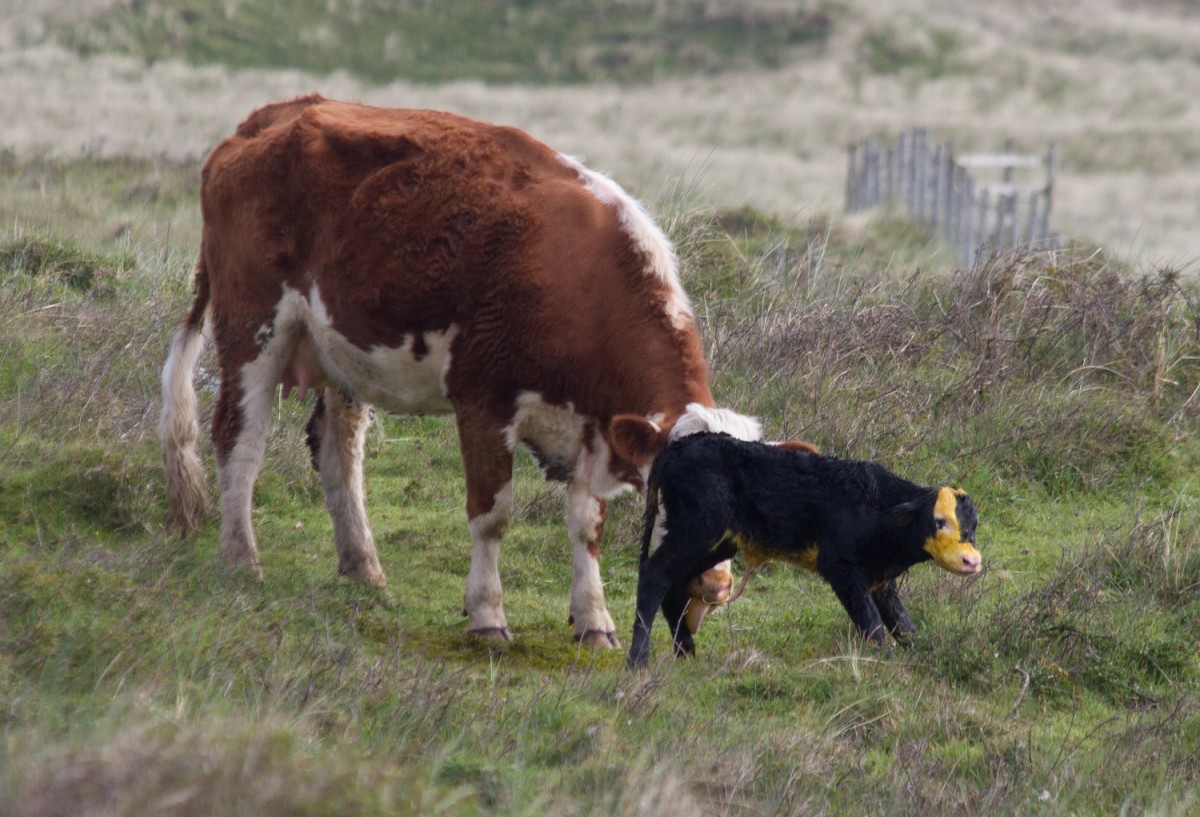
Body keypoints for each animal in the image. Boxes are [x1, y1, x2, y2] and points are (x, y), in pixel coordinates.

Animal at [159, 94, 762, 648]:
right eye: (681, 499)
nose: (716, 586)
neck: (579, 278)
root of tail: (273, 115)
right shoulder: (484, 402)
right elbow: (492, 515)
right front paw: (488, 616)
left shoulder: (595, 425)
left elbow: (587, 524)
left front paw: (594, 621)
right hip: (252, 325)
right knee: (239, 439)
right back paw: (243, 562)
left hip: (341, 347)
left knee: (338, 451)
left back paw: (365, 570)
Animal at [625, 432, 981, 666]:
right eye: (939, 521)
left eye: (974, 525)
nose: (972, 561)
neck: (876, 505)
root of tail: (677, 447)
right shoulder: (840, 568)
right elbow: (873, 625)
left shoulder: (878, 578)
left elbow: (903, 624)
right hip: (697, 529)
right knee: (654, 575)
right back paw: (639, 659)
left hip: (716, 542)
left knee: (673, 586)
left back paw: (686, 652)